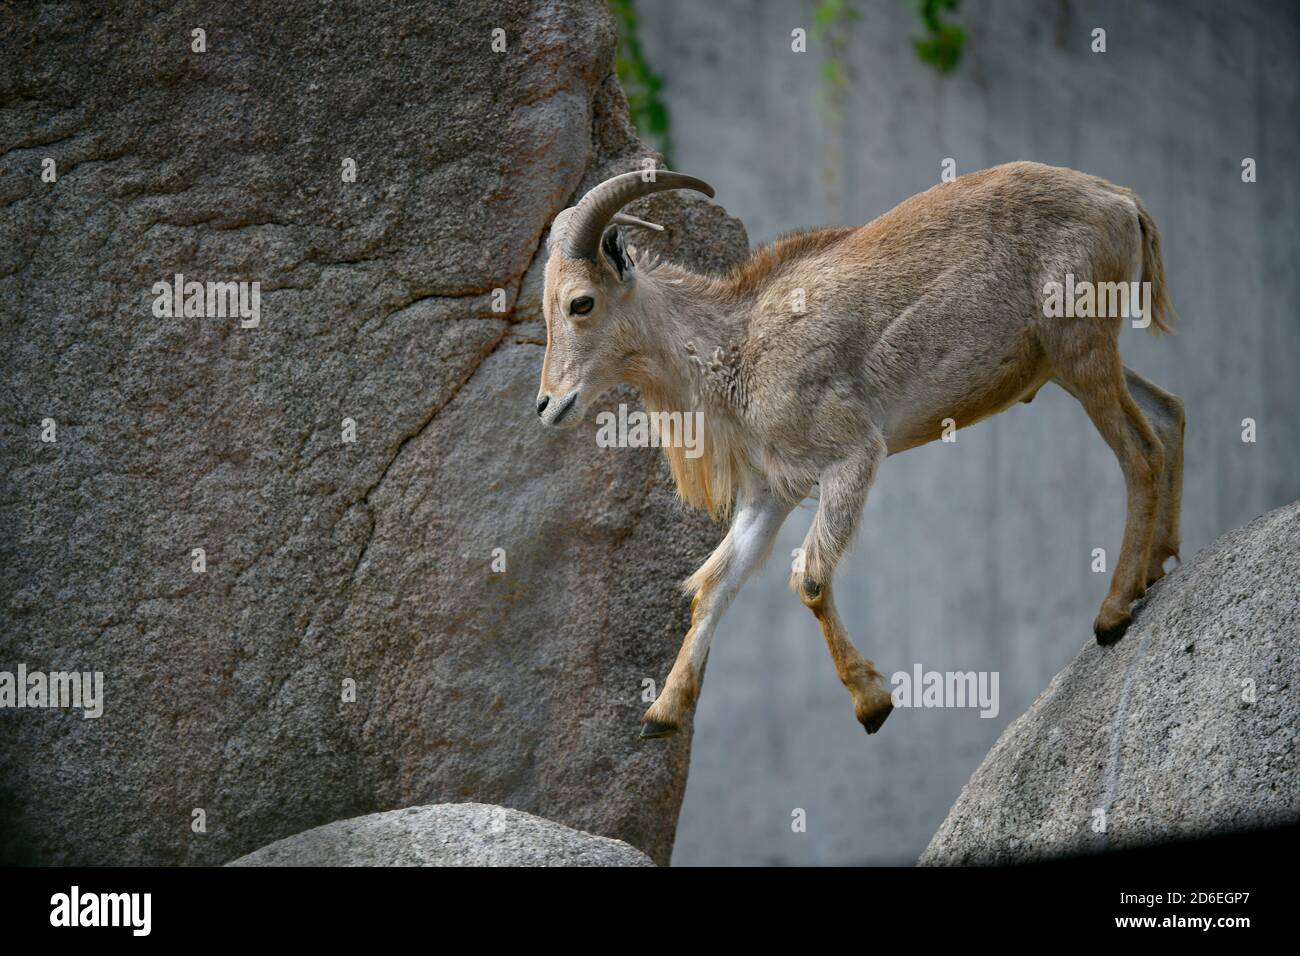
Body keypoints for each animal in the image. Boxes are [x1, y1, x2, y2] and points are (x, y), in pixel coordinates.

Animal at [536, 163, 1183, 739]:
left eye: (581, 303)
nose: (546, 404)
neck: (737, 350)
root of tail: (1121, 201)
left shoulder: (851, 455)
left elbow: (810, 576)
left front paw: (872, 703)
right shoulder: (768, 496)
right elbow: (715, 586)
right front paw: (661, 714)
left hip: (1079, 344)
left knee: (1139, 449)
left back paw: (1113, 612)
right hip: (1071, 360)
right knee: (1168, 413)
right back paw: (1156, 567)